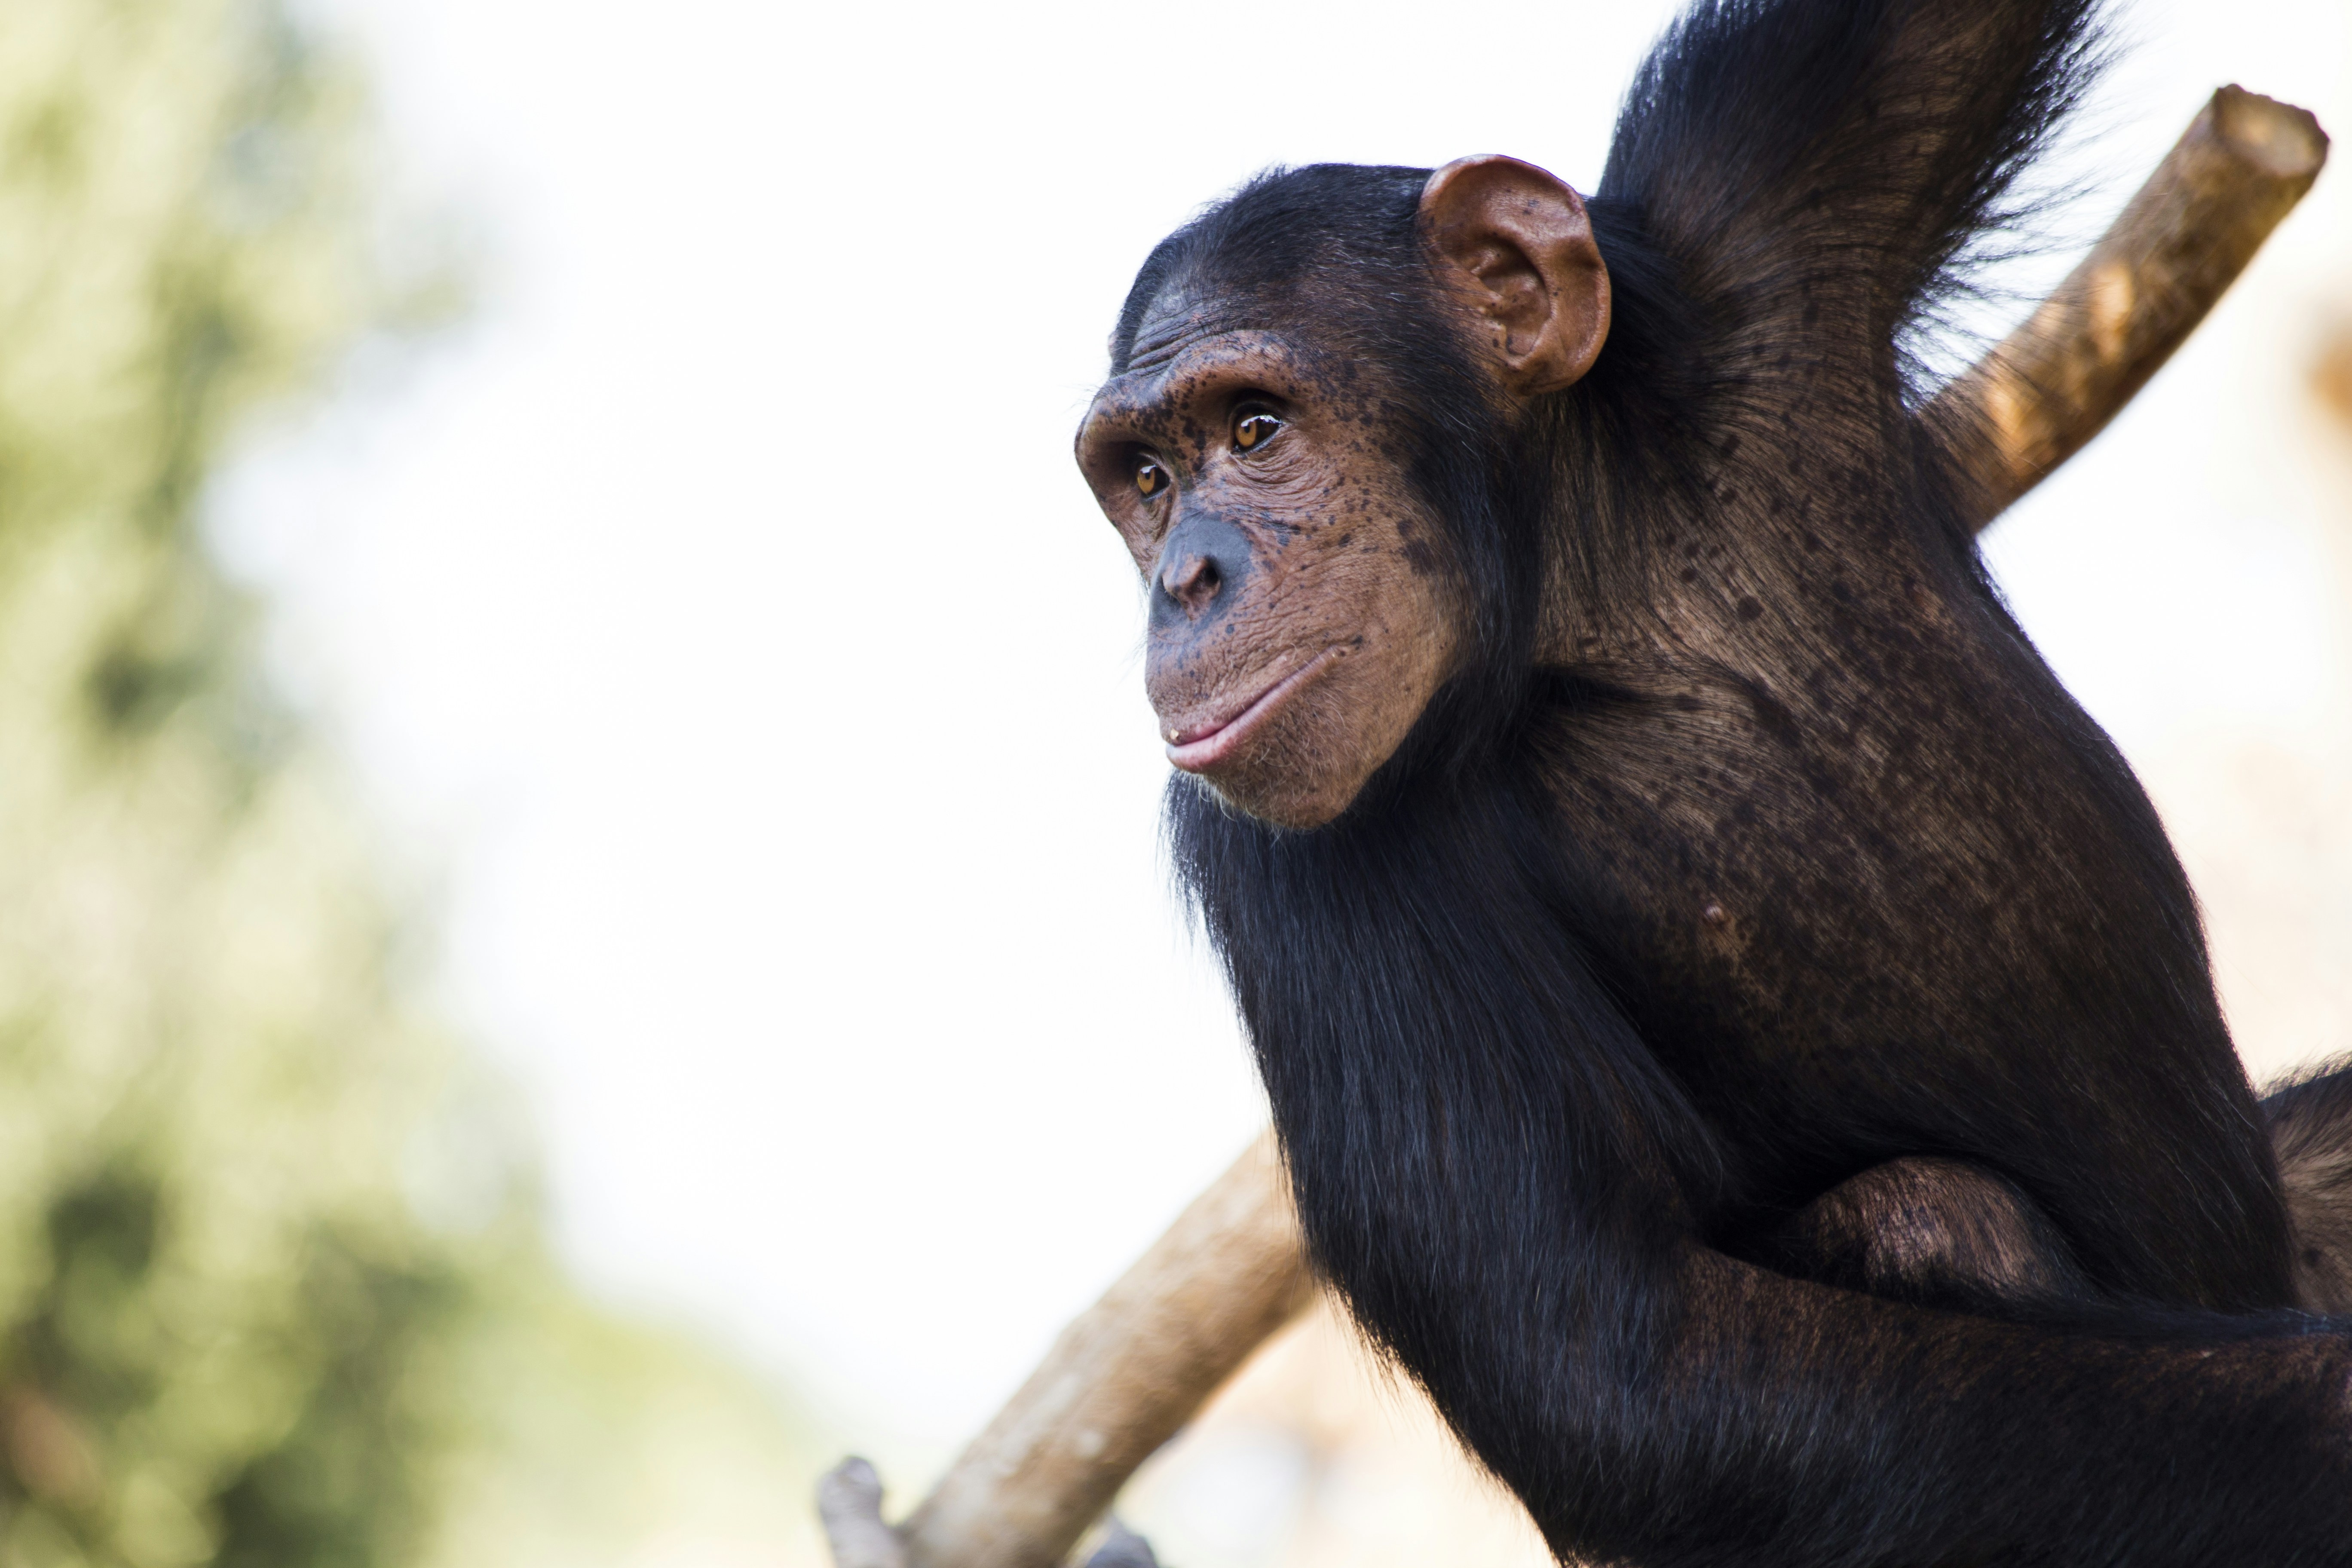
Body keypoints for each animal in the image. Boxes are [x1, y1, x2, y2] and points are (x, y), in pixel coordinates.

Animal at [1072, 0, 2352, 1562]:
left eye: (1254, 427)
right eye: (1144, 477)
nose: (1186, 578)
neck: (1568, 582)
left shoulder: (1756, 194)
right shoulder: (1291, 856)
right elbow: (1624, 1362)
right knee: (1926, 1215)